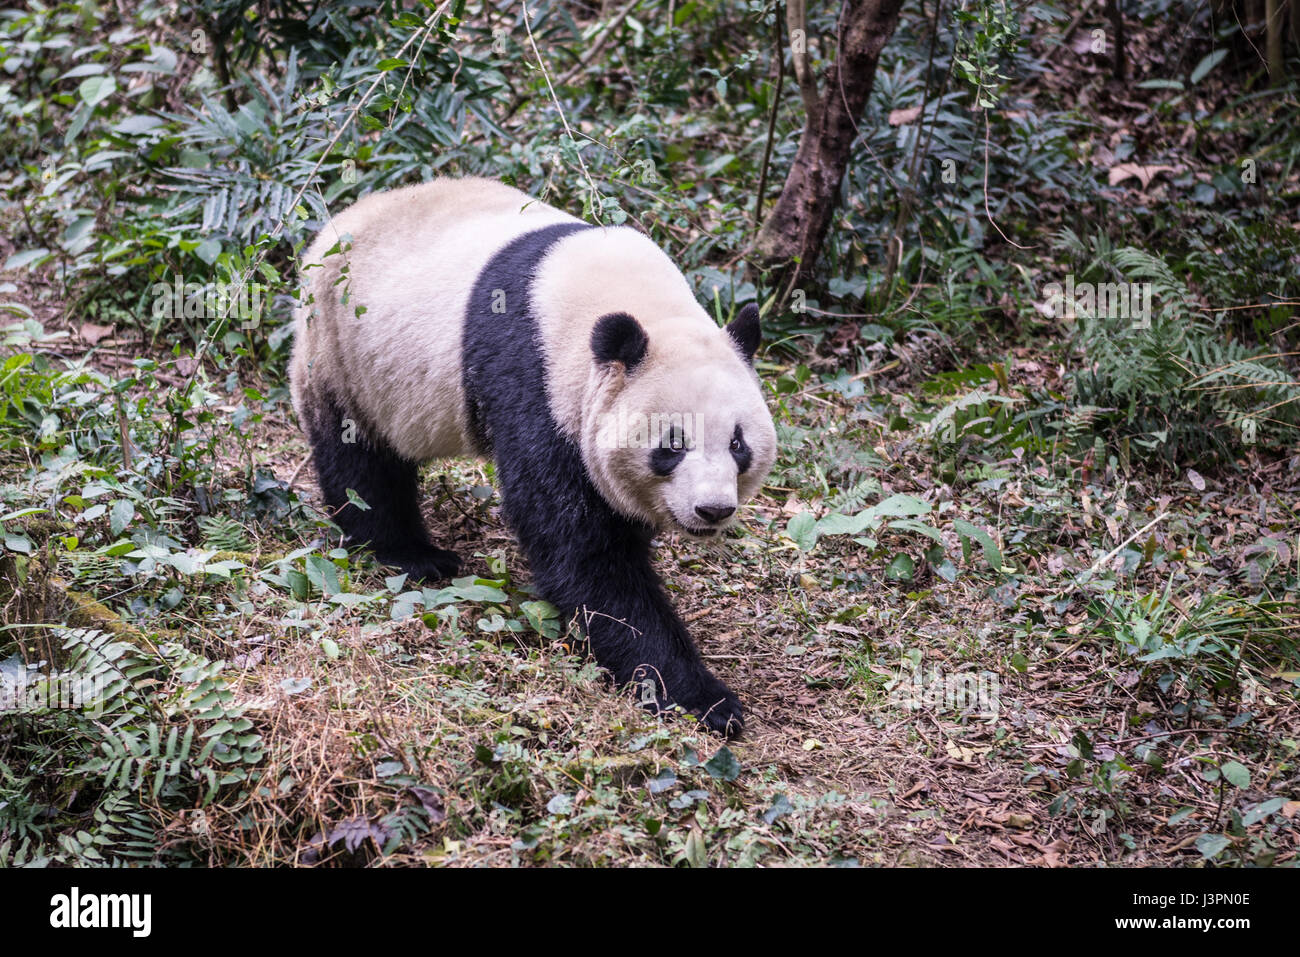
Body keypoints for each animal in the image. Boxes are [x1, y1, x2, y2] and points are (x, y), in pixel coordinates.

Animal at [289, 177, 777, 735]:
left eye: (738, 444)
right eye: (671, 445)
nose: (712, 510)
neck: (639, 304)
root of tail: (335, 226)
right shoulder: (535, 378)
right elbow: (579, 549)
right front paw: (700, 697)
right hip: (341, 347)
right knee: (360, 463)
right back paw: (413, 554)